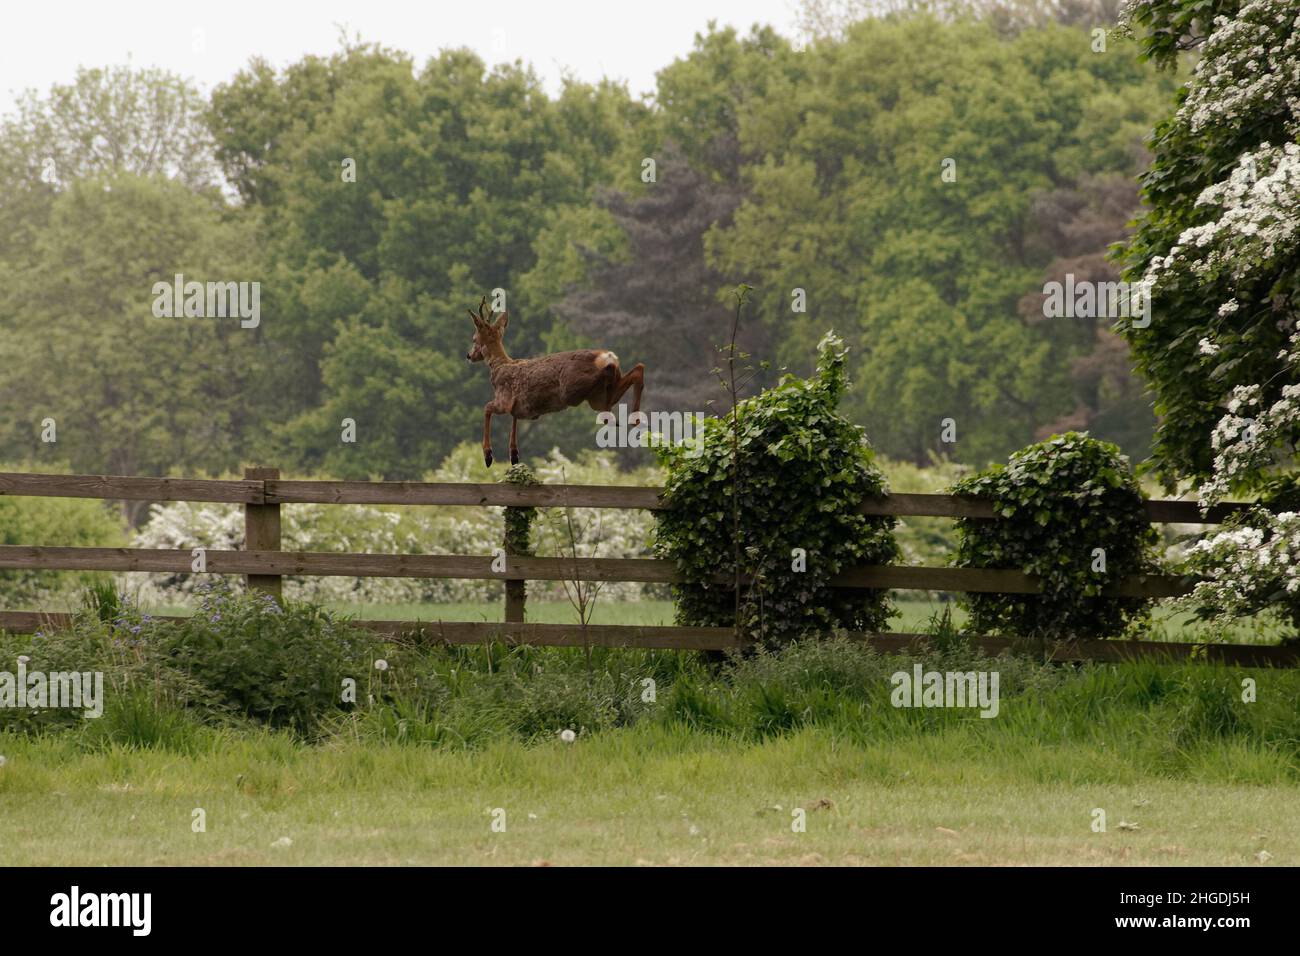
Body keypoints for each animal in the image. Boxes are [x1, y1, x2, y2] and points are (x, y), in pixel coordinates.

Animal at [466, 296, 645, 466]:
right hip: (597, 396)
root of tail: (607, 357)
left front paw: (488, 456)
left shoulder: (503, 399)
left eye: (474, 339)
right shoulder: (517, 406)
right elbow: (514, 420)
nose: (469, 355)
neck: (499, 365)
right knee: (638, 370)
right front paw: (514, 454)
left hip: (576, 390)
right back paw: (634, 420)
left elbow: (487, 408)